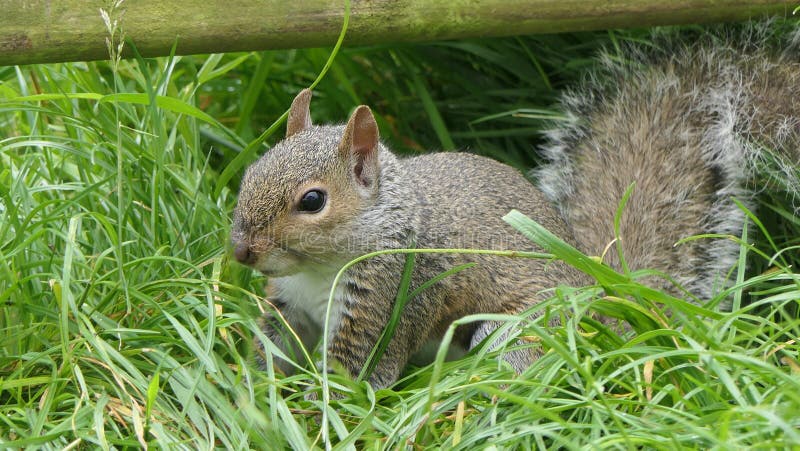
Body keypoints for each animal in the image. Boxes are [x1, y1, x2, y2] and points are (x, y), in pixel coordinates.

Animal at [231, 22, 799, 390]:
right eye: (250, 174)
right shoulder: (292, 306)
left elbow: (358, 371)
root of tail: (612, 315)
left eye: (312, 200)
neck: (318, 270)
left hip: (521, 331)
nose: (240, 252)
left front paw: (317, 412)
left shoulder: (390, 296)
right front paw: (248, 396)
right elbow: (275, 348)